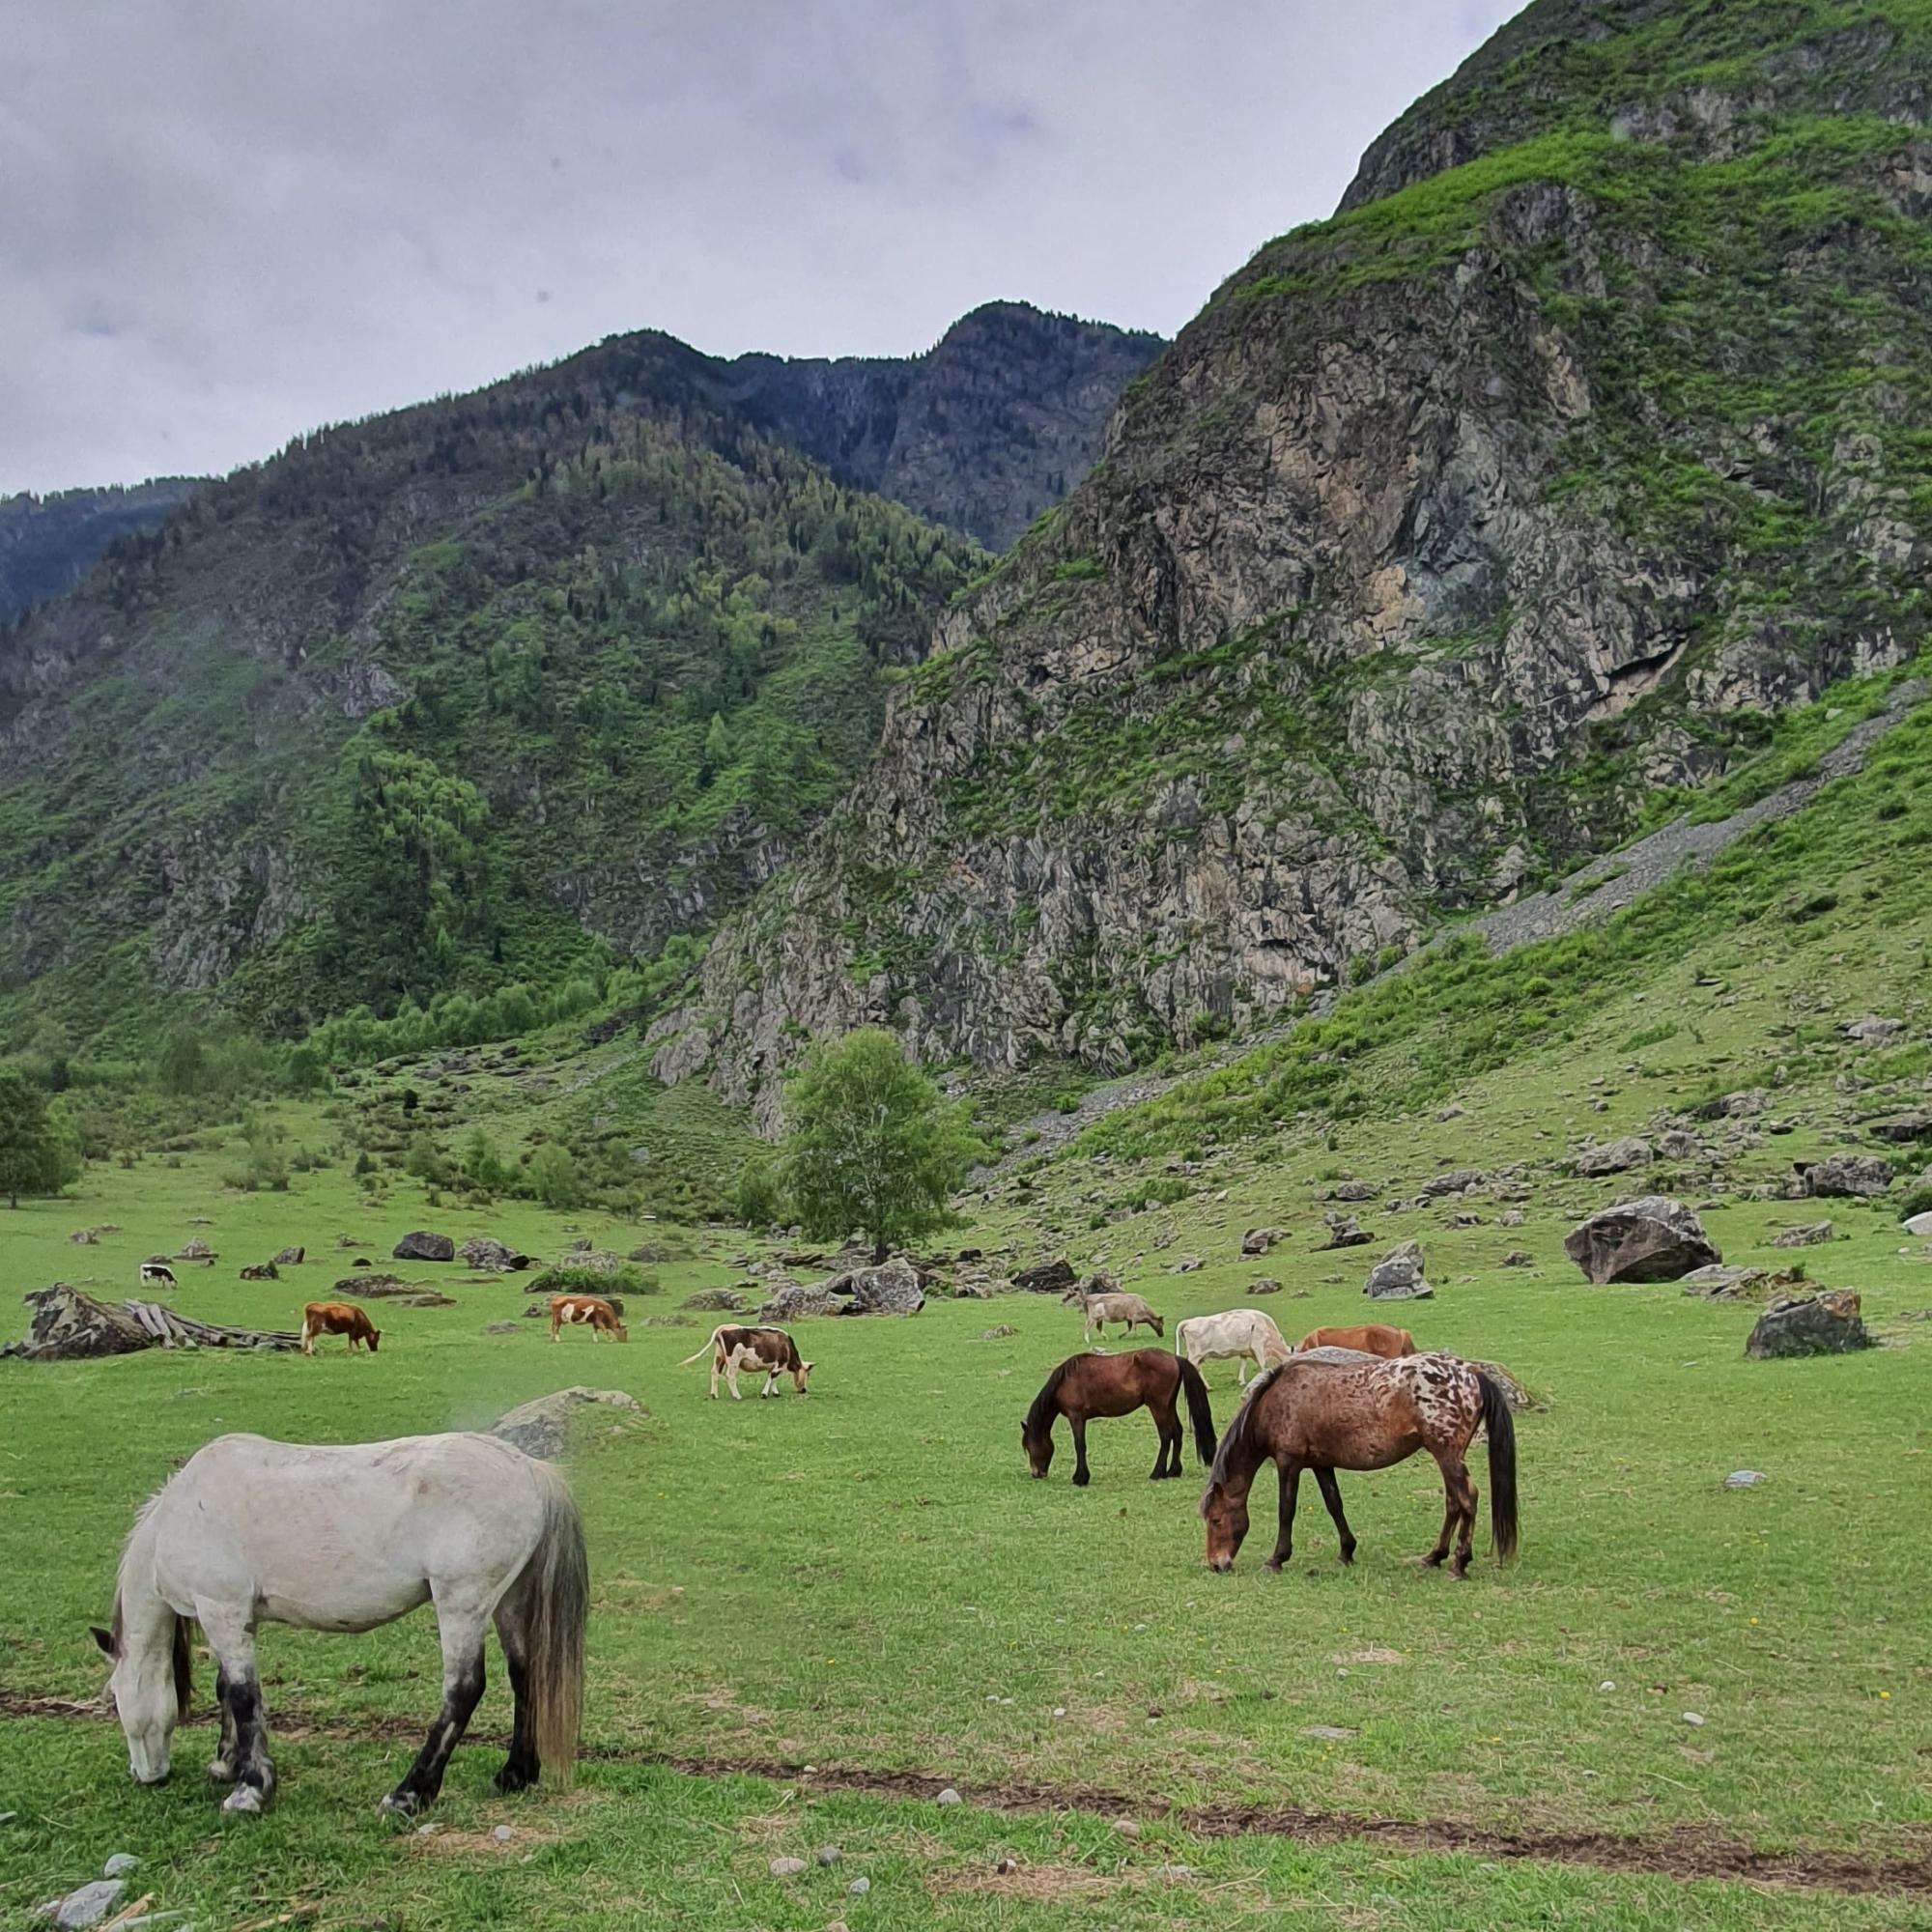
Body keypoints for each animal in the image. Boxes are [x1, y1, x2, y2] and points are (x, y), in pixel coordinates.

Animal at [680, 1321, 808, 1399]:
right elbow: (772, 1377)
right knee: (730, 1376)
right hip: (733, 1361)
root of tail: (723, 1327)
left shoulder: (774, 1366)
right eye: (807, 1374)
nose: (804, 1390)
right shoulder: (779, 1364)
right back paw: (737, 1396)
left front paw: (775, 1393)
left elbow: (773, 1379)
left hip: (719, 1357)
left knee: (715, 1372)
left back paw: (714, 1395)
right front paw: (764, 1394)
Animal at [1020, 1352, 1213, 1484]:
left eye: (1029, 1446)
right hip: (1168, 1406)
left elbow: (1080, 1445)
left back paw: (1156, 1473)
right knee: (1177, 1433)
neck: (1065, 1381)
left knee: (1166, 1436)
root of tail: (1174, 1358)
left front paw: (1080, 1478)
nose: (1036, 1473)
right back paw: (1173, 1471)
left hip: (1158, 1407)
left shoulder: (1076, 1417)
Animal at [1167, 1306, 1291, 1383]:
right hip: (1195, 1354)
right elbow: (1262, 1364)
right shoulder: (1258, 1346)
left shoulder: (1244, 1351)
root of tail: (1187, 1322)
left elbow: (1242, 1365)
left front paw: (1241, 1381)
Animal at [1198, 1352, 1515, 1577]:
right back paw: (1434, 1556)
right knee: (1453, 1503)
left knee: (1467, 1499)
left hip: (1447, 1454)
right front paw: (1346, 1552)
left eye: (1216, 1520)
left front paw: (1276, 1559)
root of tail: (1472, 1373)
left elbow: (1286, 1510)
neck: (1276, 1401)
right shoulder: (1321, 1464)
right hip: (1447, 1456)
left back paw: (1459, 1563)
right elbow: (1334, 1505)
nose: (1216, 1564)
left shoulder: (1289, 1462)